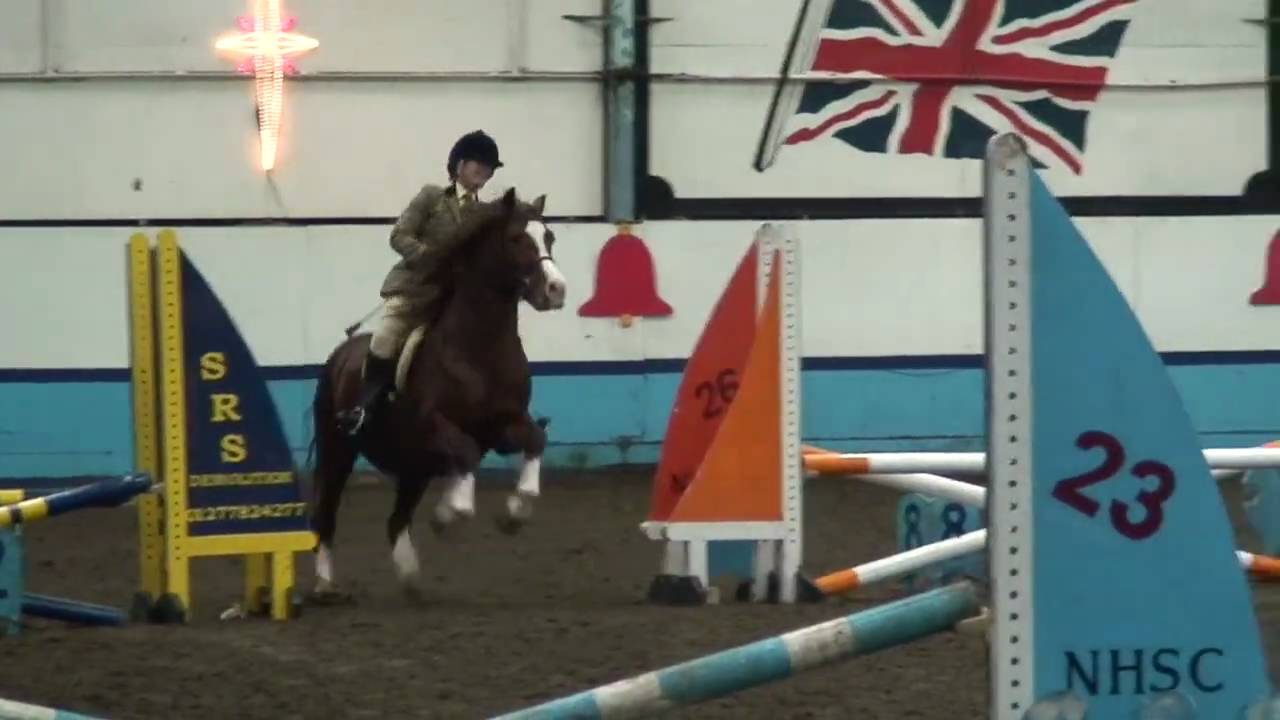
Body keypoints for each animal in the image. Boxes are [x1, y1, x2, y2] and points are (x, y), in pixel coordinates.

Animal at [306, 188, 567, 602]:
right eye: (515, 239)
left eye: (550, 237)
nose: (557, 291)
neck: (480, 348)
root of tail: (340, 356)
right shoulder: (434, 426)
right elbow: (465, 453)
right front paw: (450, 515)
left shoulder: (504, 426)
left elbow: (534, 440)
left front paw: (513, 513)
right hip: (338, 452)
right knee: (327, 515)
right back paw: (325, 584)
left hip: (413, 467)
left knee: (396, 518)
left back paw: (410, 577)